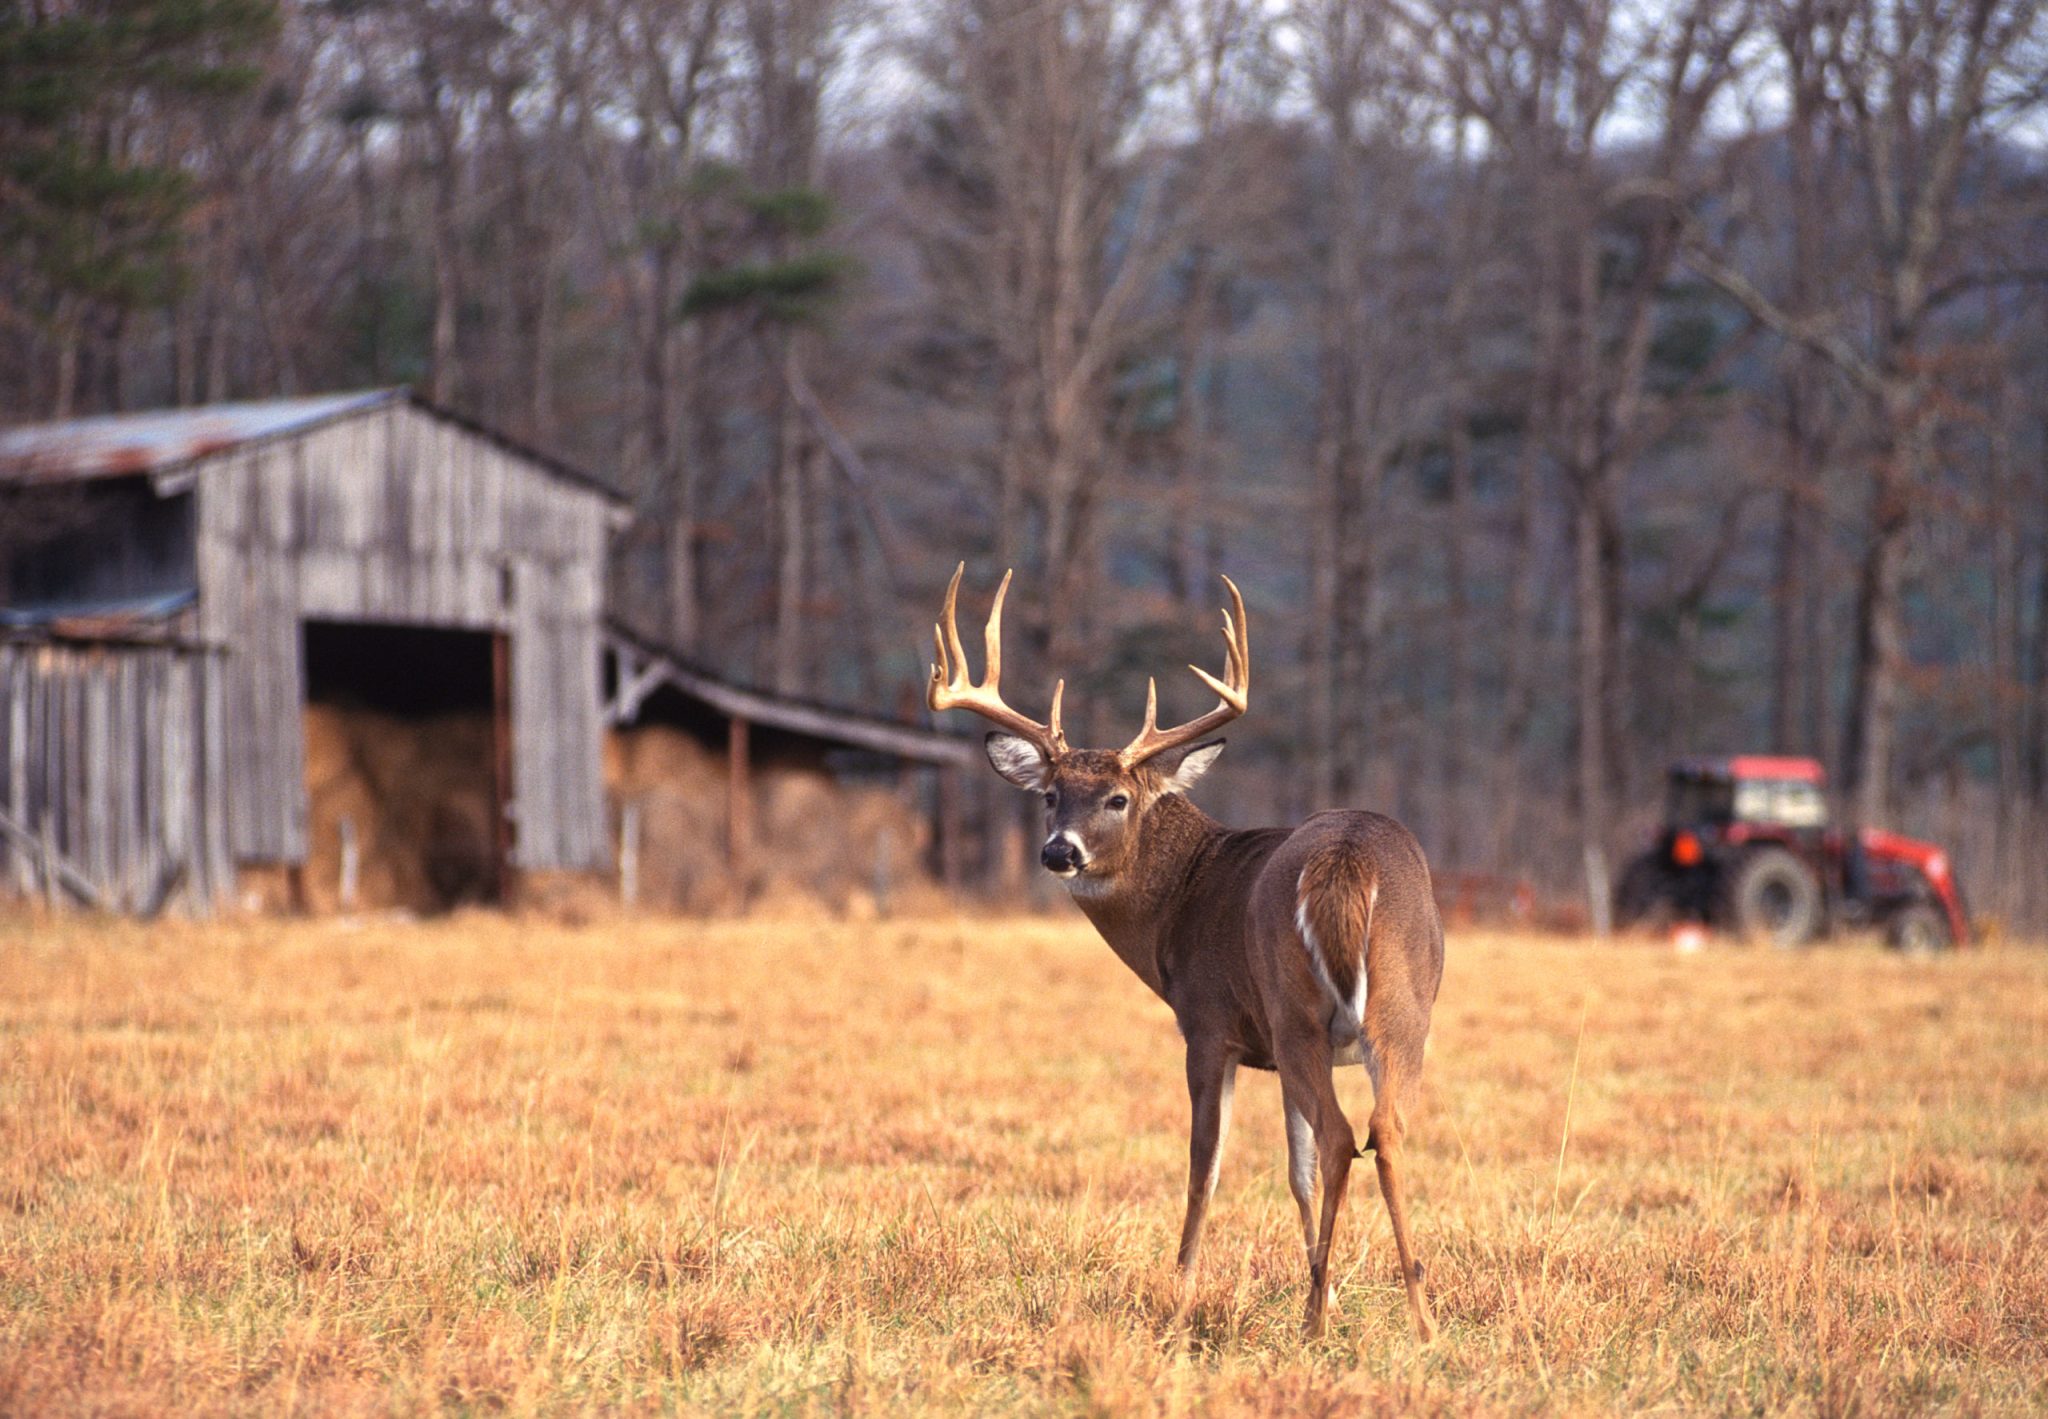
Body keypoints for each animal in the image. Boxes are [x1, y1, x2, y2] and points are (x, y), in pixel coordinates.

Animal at [925, 565, 1444, 1342]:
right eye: (1050, 795)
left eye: (1116, 797)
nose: (1058, 851)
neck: (1185, 896)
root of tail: (1347, 862)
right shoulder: (1277, 1053)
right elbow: (1295, 1172)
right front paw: (1320, 1283)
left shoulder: (1210, 1023)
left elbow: (1206, 1167)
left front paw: (1180, 1297)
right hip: (1398, 1012)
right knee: (1385, 1131)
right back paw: (1415, 1316)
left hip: (1294, 1011)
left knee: (1342, 1135)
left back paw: (1316, 1323)